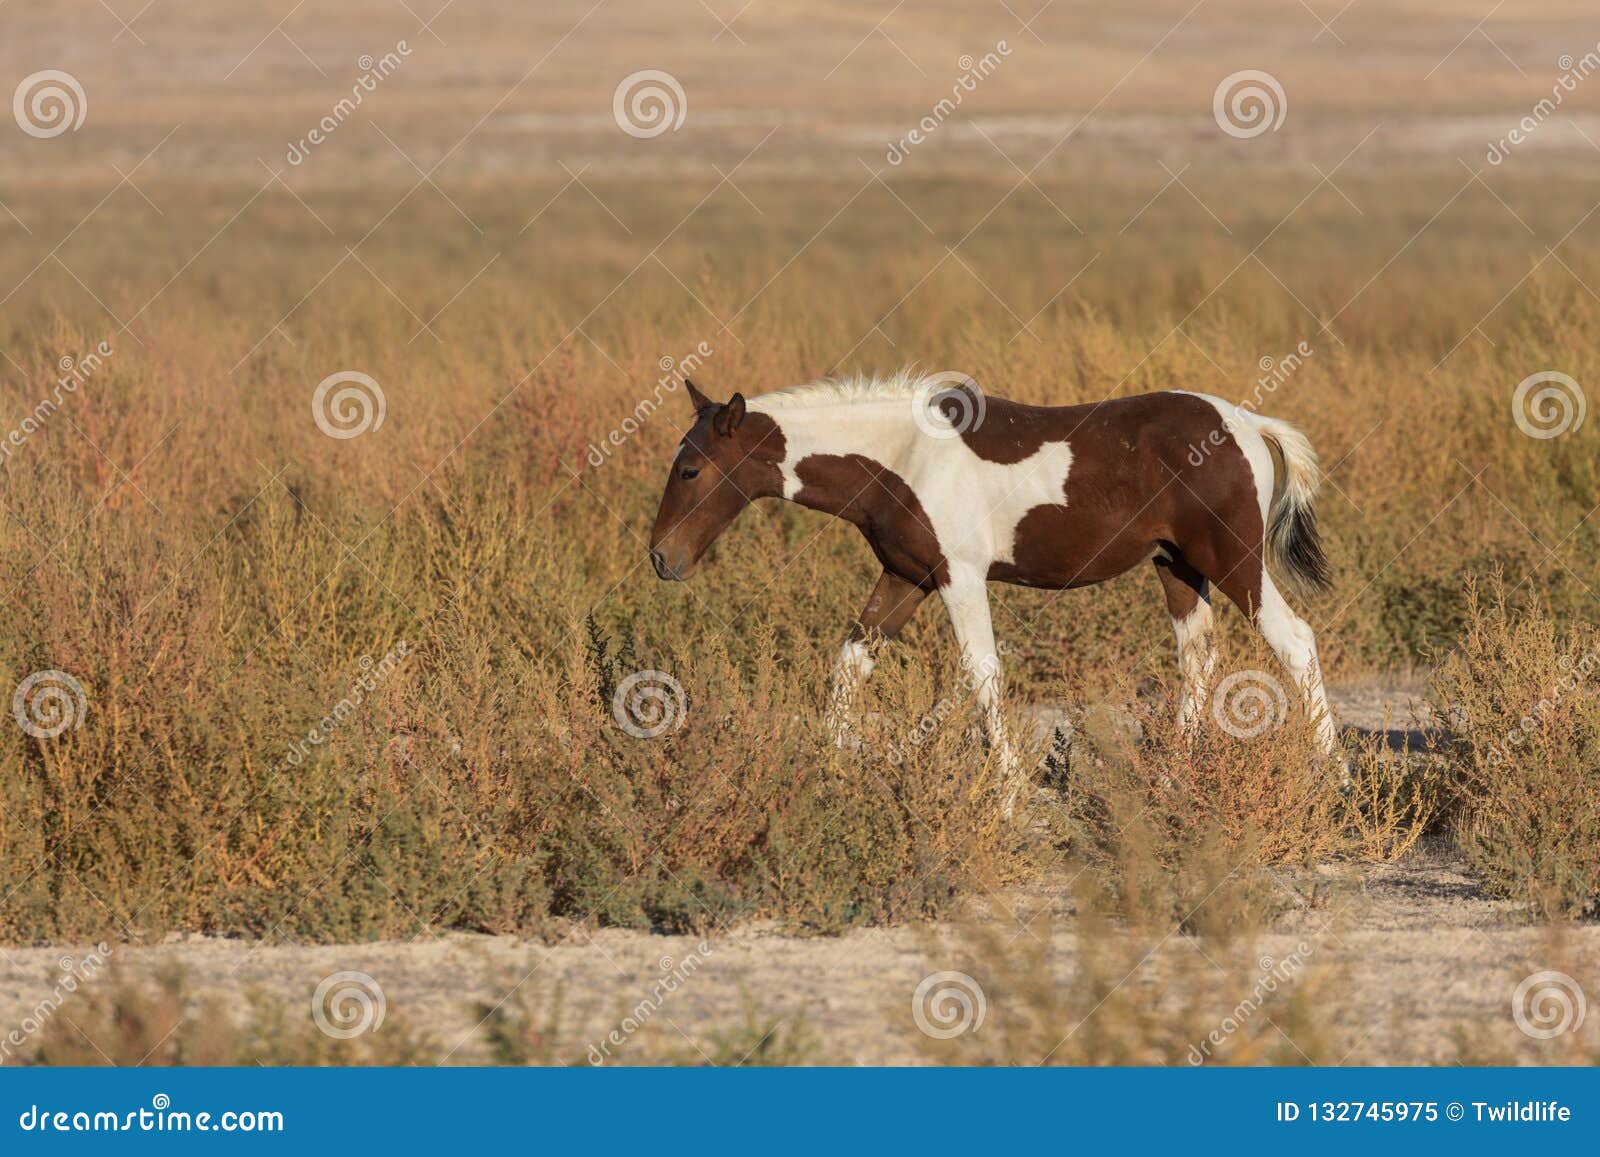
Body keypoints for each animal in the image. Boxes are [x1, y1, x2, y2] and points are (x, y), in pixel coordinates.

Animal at [647, 369, 1337, 812]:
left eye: (691, 470)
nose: (661, 558)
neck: (903, 458)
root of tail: (1247, 421)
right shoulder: (906, 576)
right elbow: (851, 662)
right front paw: (830, 773)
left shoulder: (961, 575)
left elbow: (982, 672)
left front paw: (1007, 794)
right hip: (1178, 568)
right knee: (1198, 659)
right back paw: (1171, 783)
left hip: (1233, 559)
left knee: (1295, 640)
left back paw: (1332, 780)